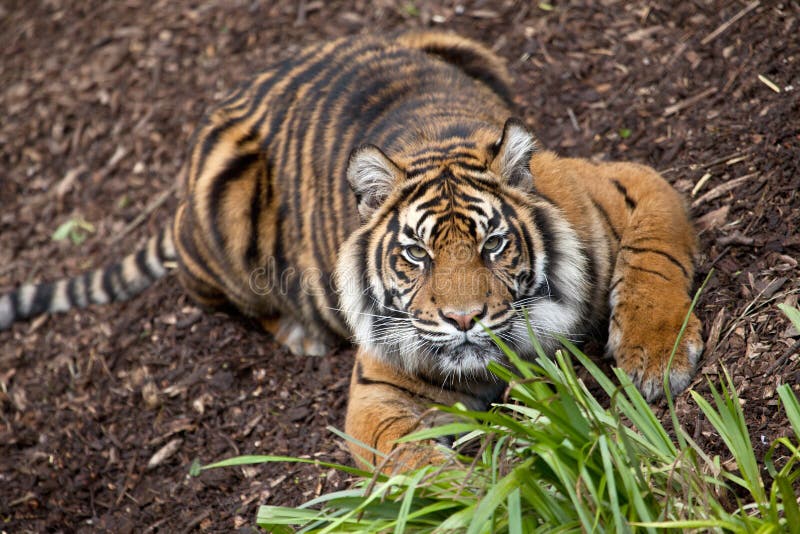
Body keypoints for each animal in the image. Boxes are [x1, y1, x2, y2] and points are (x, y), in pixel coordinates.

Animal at [0, 31, 703, 471]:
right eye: (416, 255)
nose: (463, 320)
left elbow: (655, 257)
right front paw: (467, 492)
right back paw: (300, 334)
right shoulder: (376, 390)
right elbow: (410, 457)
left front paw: (654, 359)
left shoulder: (629, 181)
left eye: (494, 243)